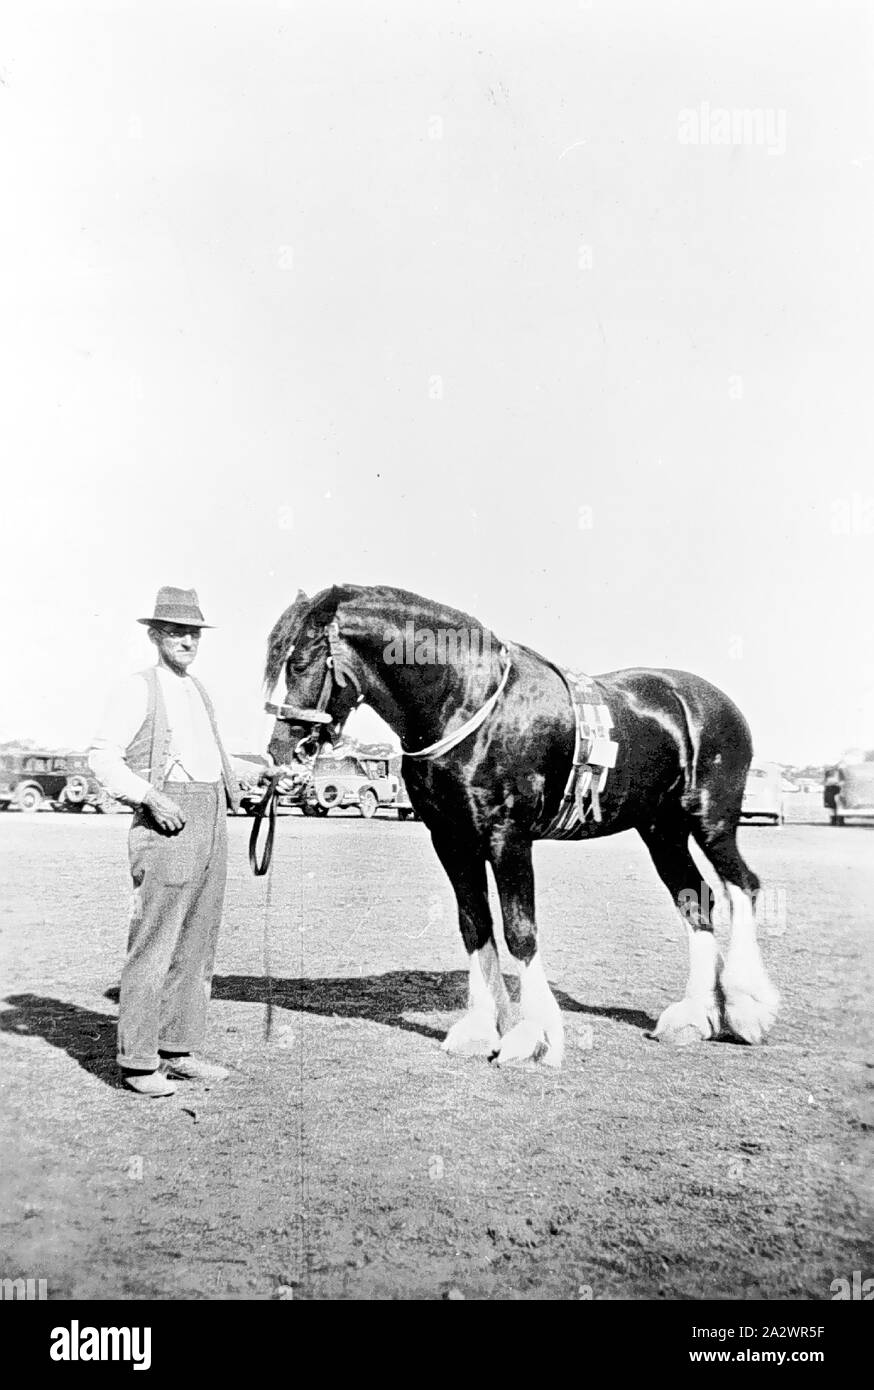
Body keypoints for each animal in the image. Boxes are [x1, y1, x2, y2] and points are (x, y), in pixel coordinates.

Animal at [263, 584, 779, 1068]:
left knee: (742, 887)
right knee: (696, 900)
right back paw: (693, 1018)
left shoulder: (507, 838)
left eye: (301, 662)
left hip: (710, 820)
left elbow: (519, 929)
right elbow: (475, 925)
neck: (468, 704)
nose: (281, 751)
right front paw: (480, 1030)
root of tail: (710, 702)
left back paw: (748, 1010)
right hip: (661, 831)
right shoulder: (451, 839)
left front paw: (533, 1037)